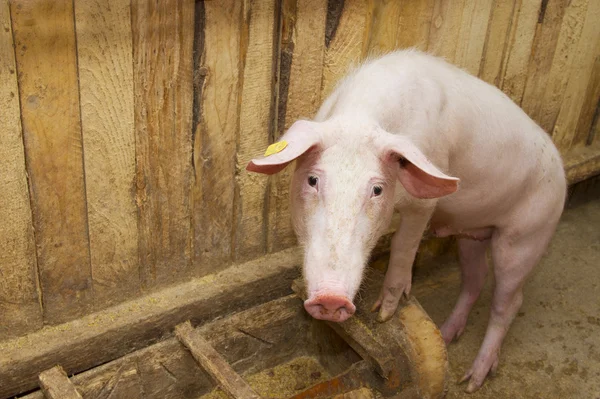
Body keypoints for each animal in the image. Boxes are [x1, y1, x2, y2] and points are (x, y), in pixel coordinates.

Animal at [245, 50, 568, 394]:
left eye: (376, 189)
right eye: (312, 180)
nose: (331, 298)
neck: (361, 117)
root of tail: (561, 171)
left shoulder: (423, 205)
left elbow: (403, 245)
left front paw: (384, 313)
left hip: (528, 234)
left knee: (509, 301)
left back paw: (471, 381)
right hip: (474, 234)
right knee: (476, 277)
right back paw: (447, 336)